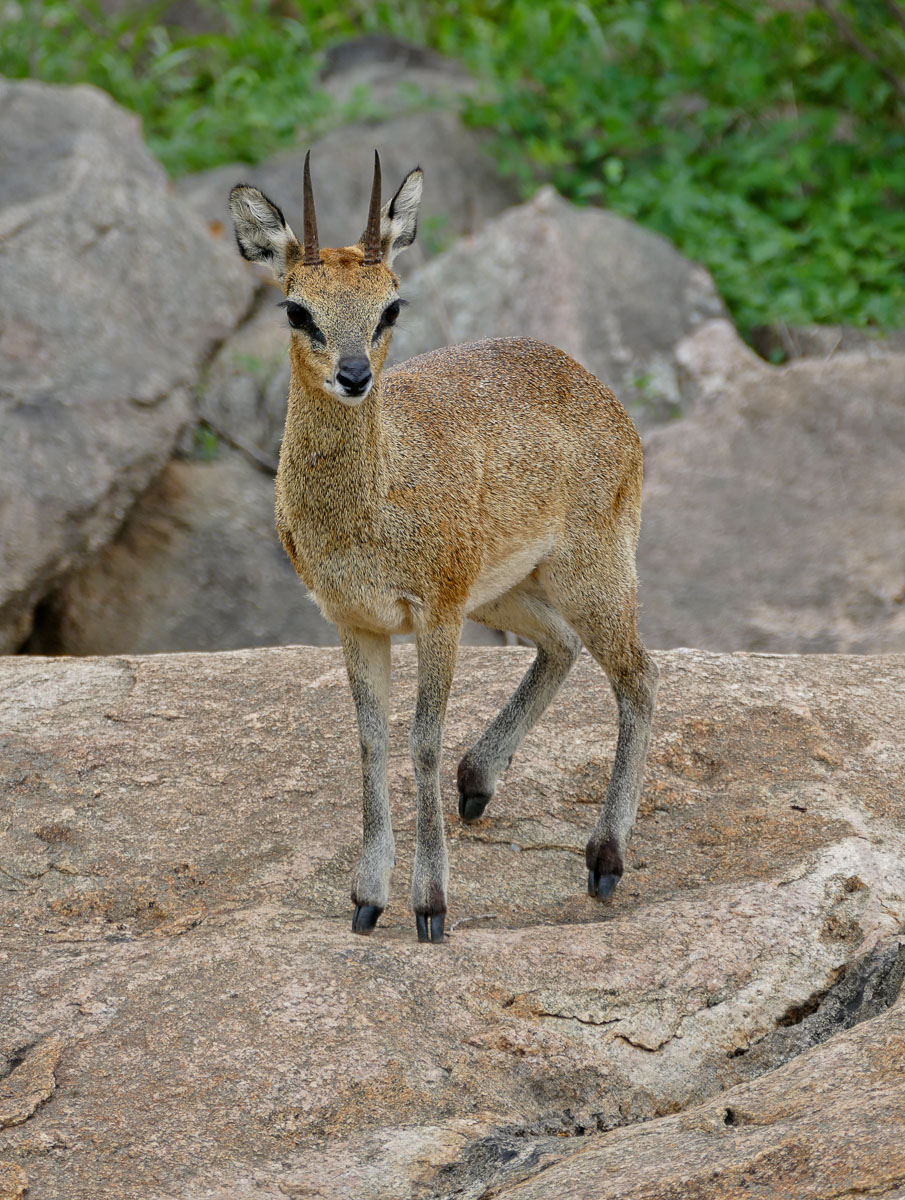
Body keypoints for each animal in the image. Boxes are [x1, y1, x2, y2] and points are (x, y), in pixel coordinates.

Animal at [228, 153, 658, 943]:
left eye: (391, 306)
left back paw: (604, 861)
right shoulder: (358, 622)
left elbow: (420, 742)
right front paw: (367, 899)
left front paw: (430, 903)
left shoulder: (434, 614)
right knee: (560, 645)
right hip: (507, 591)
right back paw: (478, 783)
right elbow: (371, 741)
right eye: (296, 309)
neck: (371, 505)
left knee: (638, 676)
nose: (354, 375)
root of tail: (598, 390)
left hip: (591, 574)